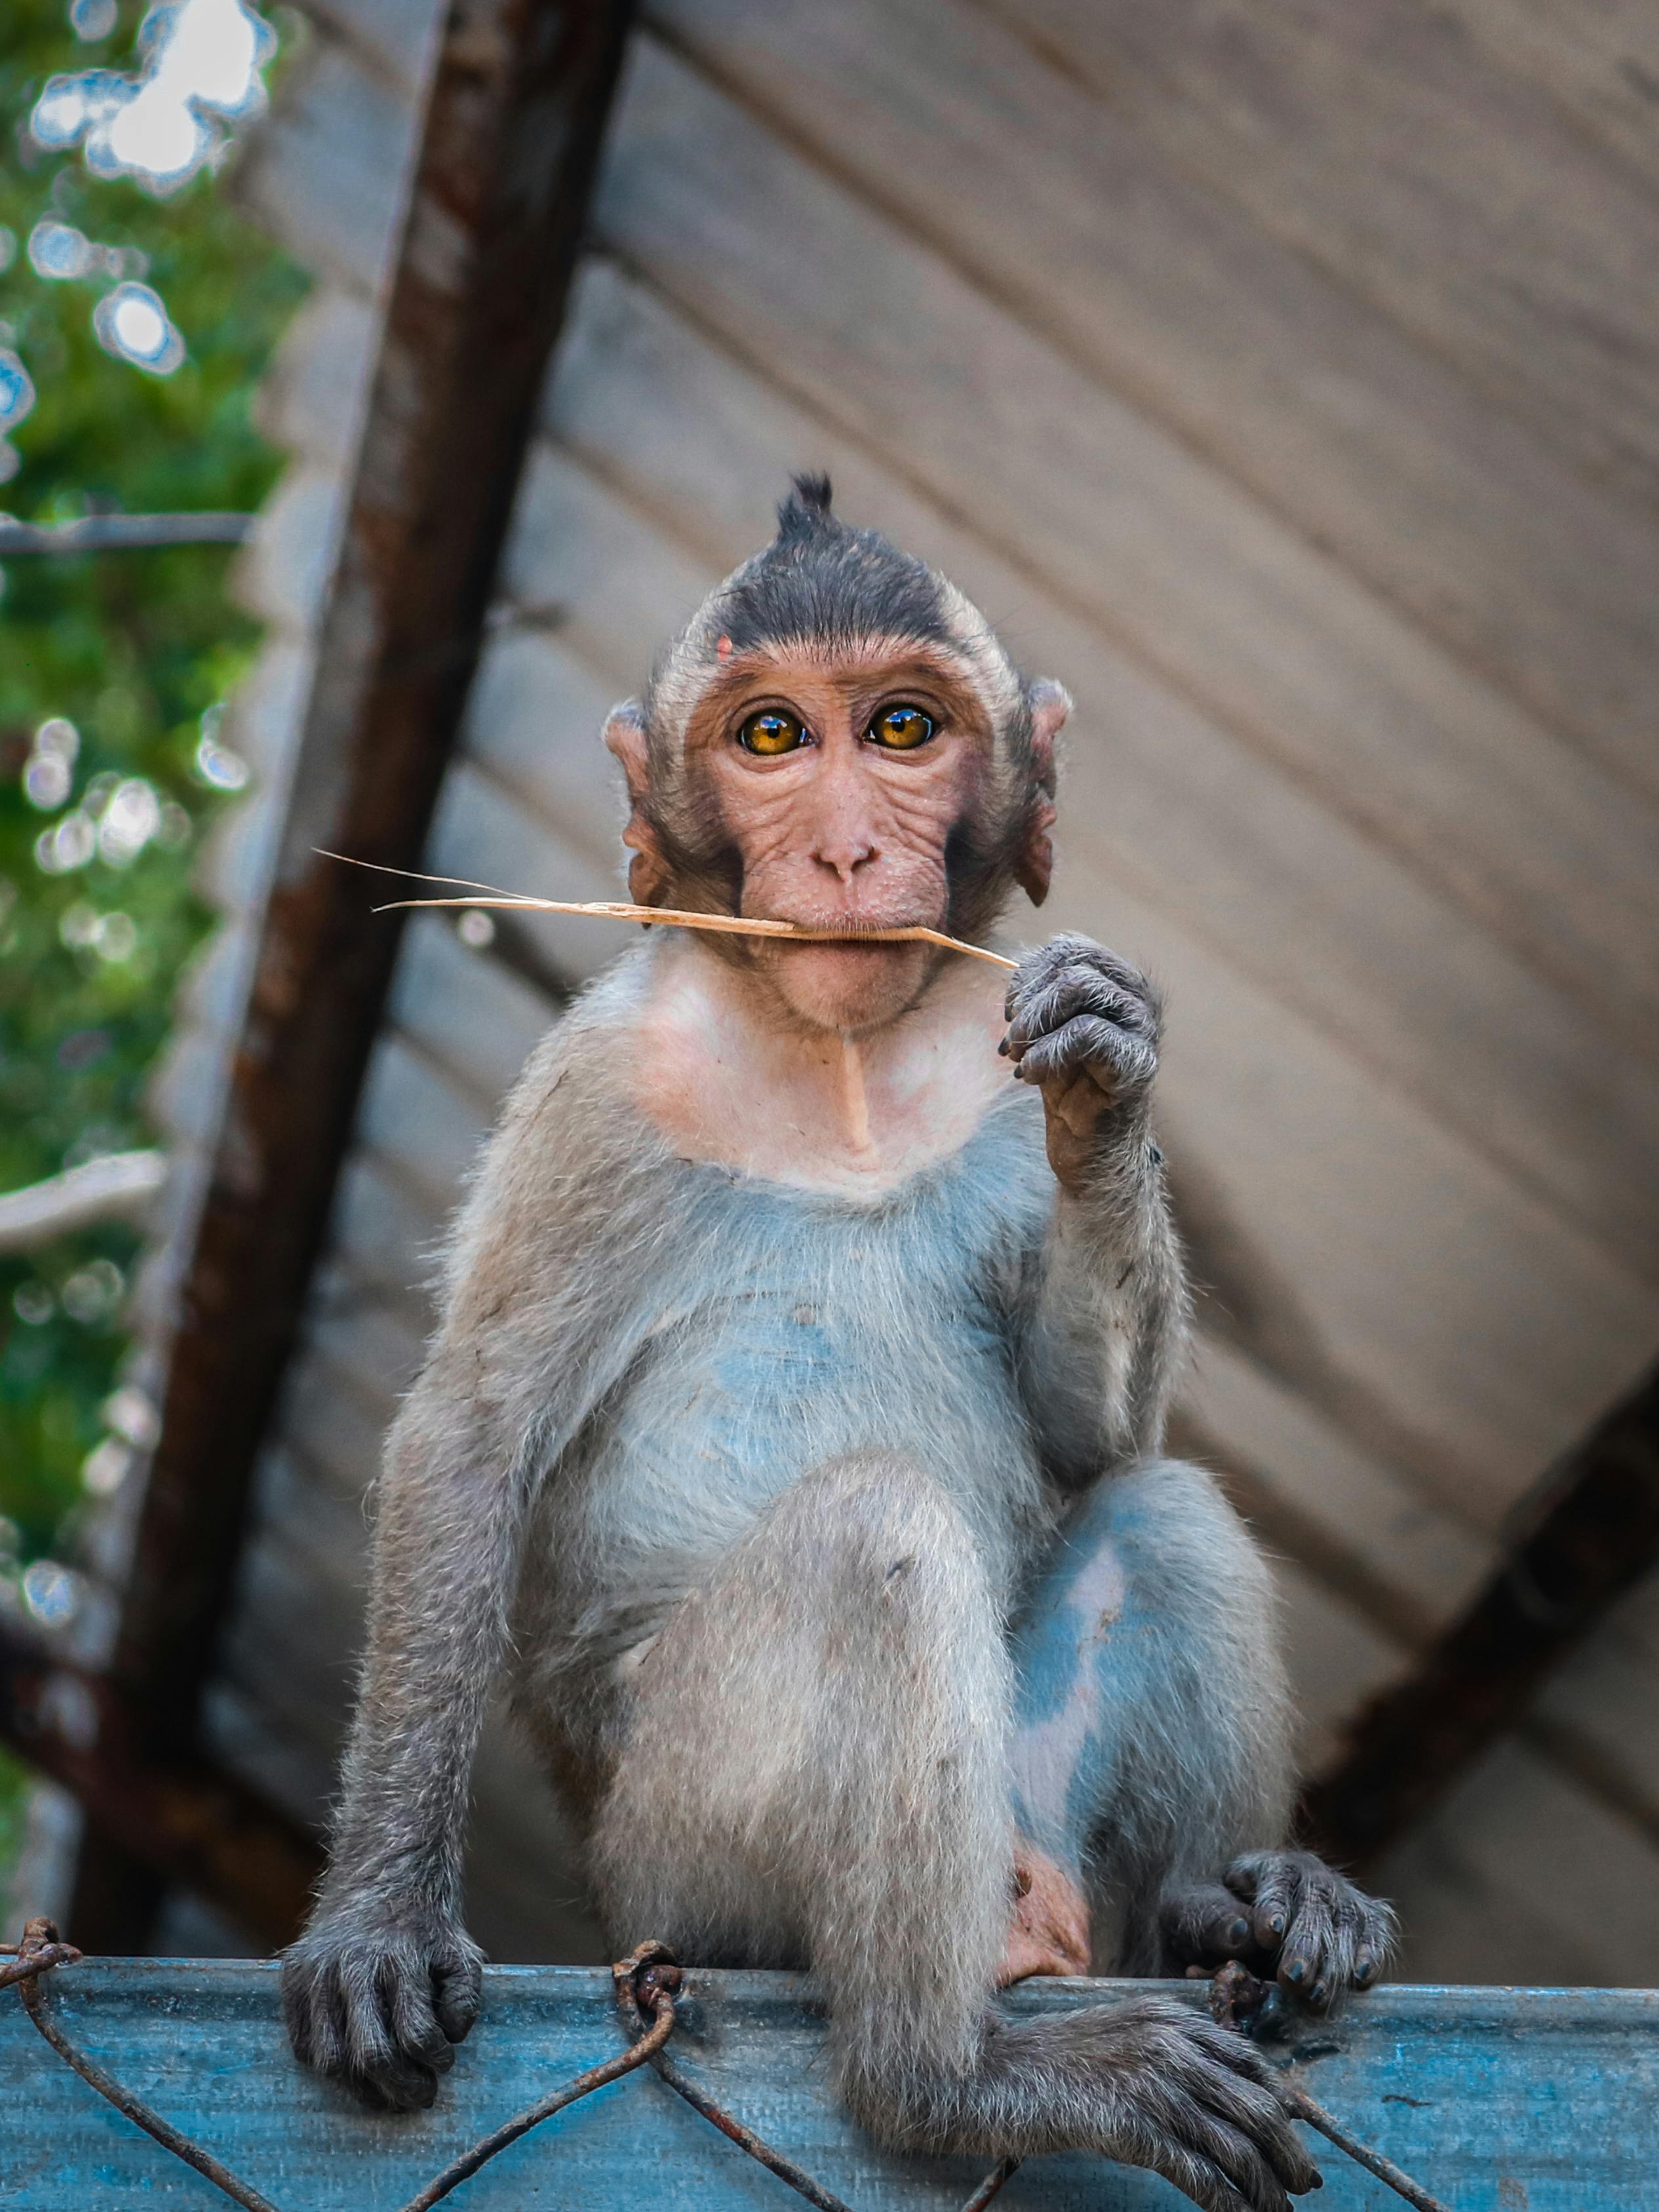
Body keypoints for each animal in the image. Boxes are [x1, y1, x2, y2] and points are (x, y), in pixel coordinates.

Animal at [282, 477, 1396, 2212]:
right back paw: (945, 2078)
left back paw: (1237, 1912)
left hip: (1025, 1810)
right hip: (685, 1868)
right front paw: (380, 1923)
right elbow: (473, 1434)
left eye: (898, 727)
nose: (849, 846)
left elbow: (1092, 1440)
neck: (843, 1065)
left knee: (1164, 1514)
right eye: (768, 737)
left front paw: (1107, 1083)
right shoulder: (596, 1088)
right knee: (872, 1537)